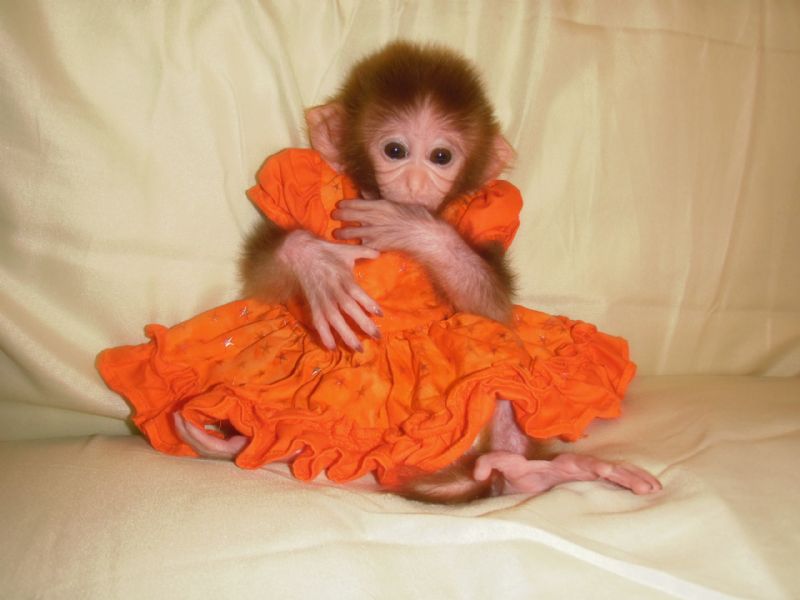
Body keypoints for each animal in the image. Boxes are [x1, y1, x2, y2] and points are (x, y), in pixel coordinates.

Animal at [97, 41, 661, 503]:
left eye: (441, 156)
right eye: (395, 150)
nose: (414, 181)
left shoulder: (491, 213)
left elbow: (491, 302)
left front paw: (415, 230)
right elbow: (265, 271)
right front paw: (317, 263)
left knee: (499, 355)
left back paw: (538, 472)